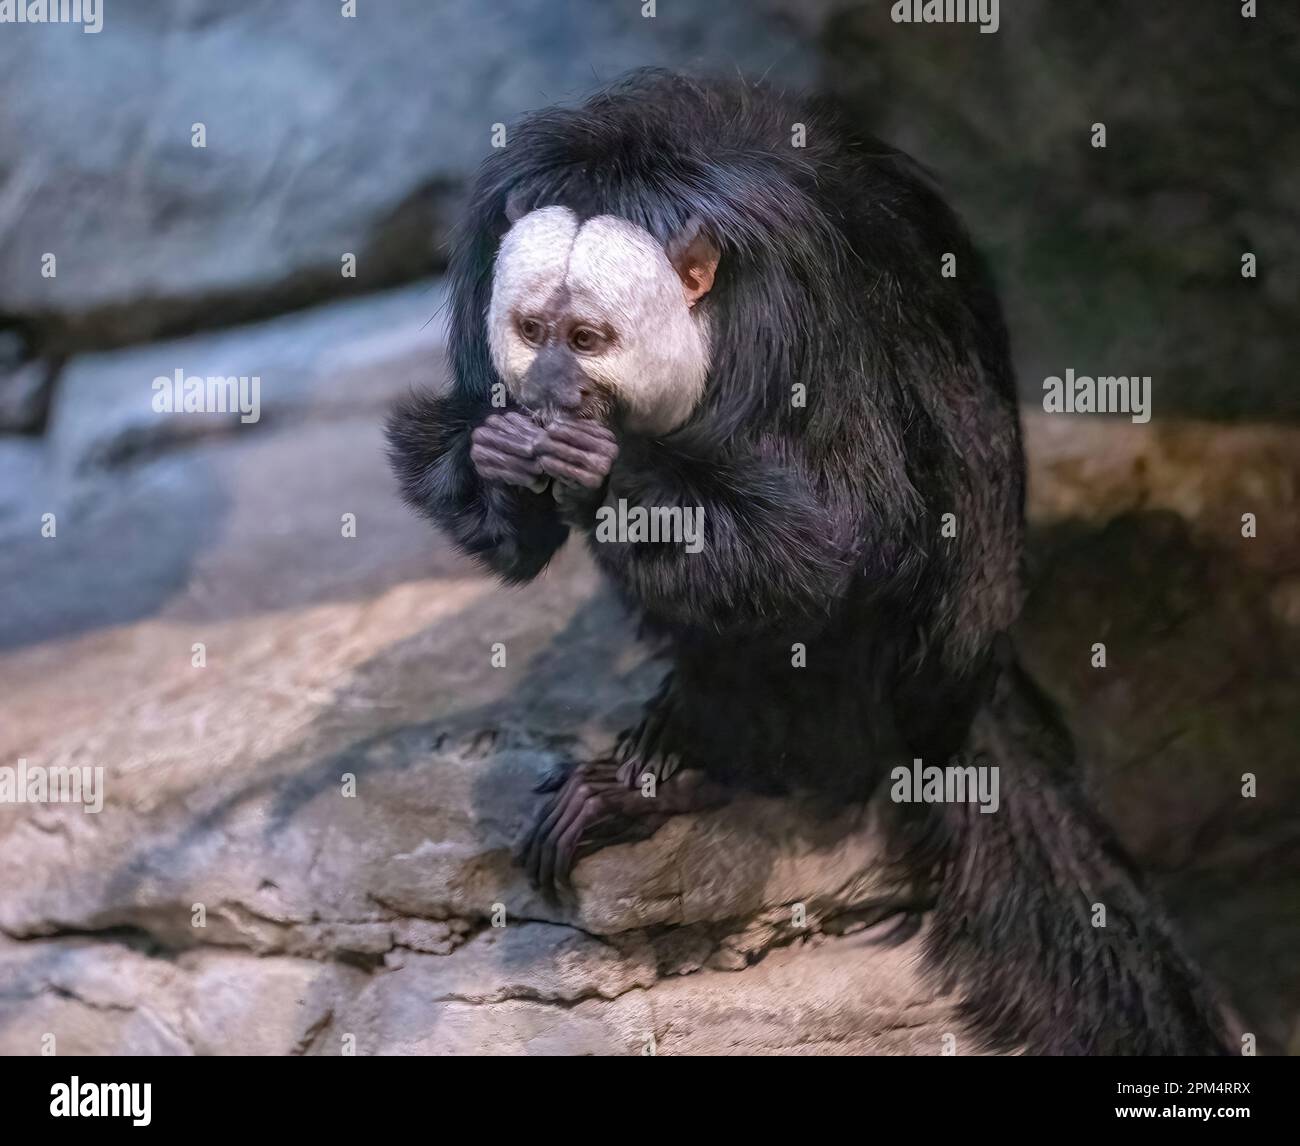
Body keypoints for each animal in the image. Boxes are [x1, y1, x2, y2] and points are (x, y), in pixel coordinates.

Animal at [386, 69, 1233, 1056]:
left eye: (588, 340)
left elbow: (842, 536)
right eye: (532, 330)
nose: (551, 391)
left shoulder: (793, 319)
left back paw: (693, 769)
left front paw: (606, 465)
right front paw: (498, 454)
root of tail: (963, 712)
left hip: (899, 688)